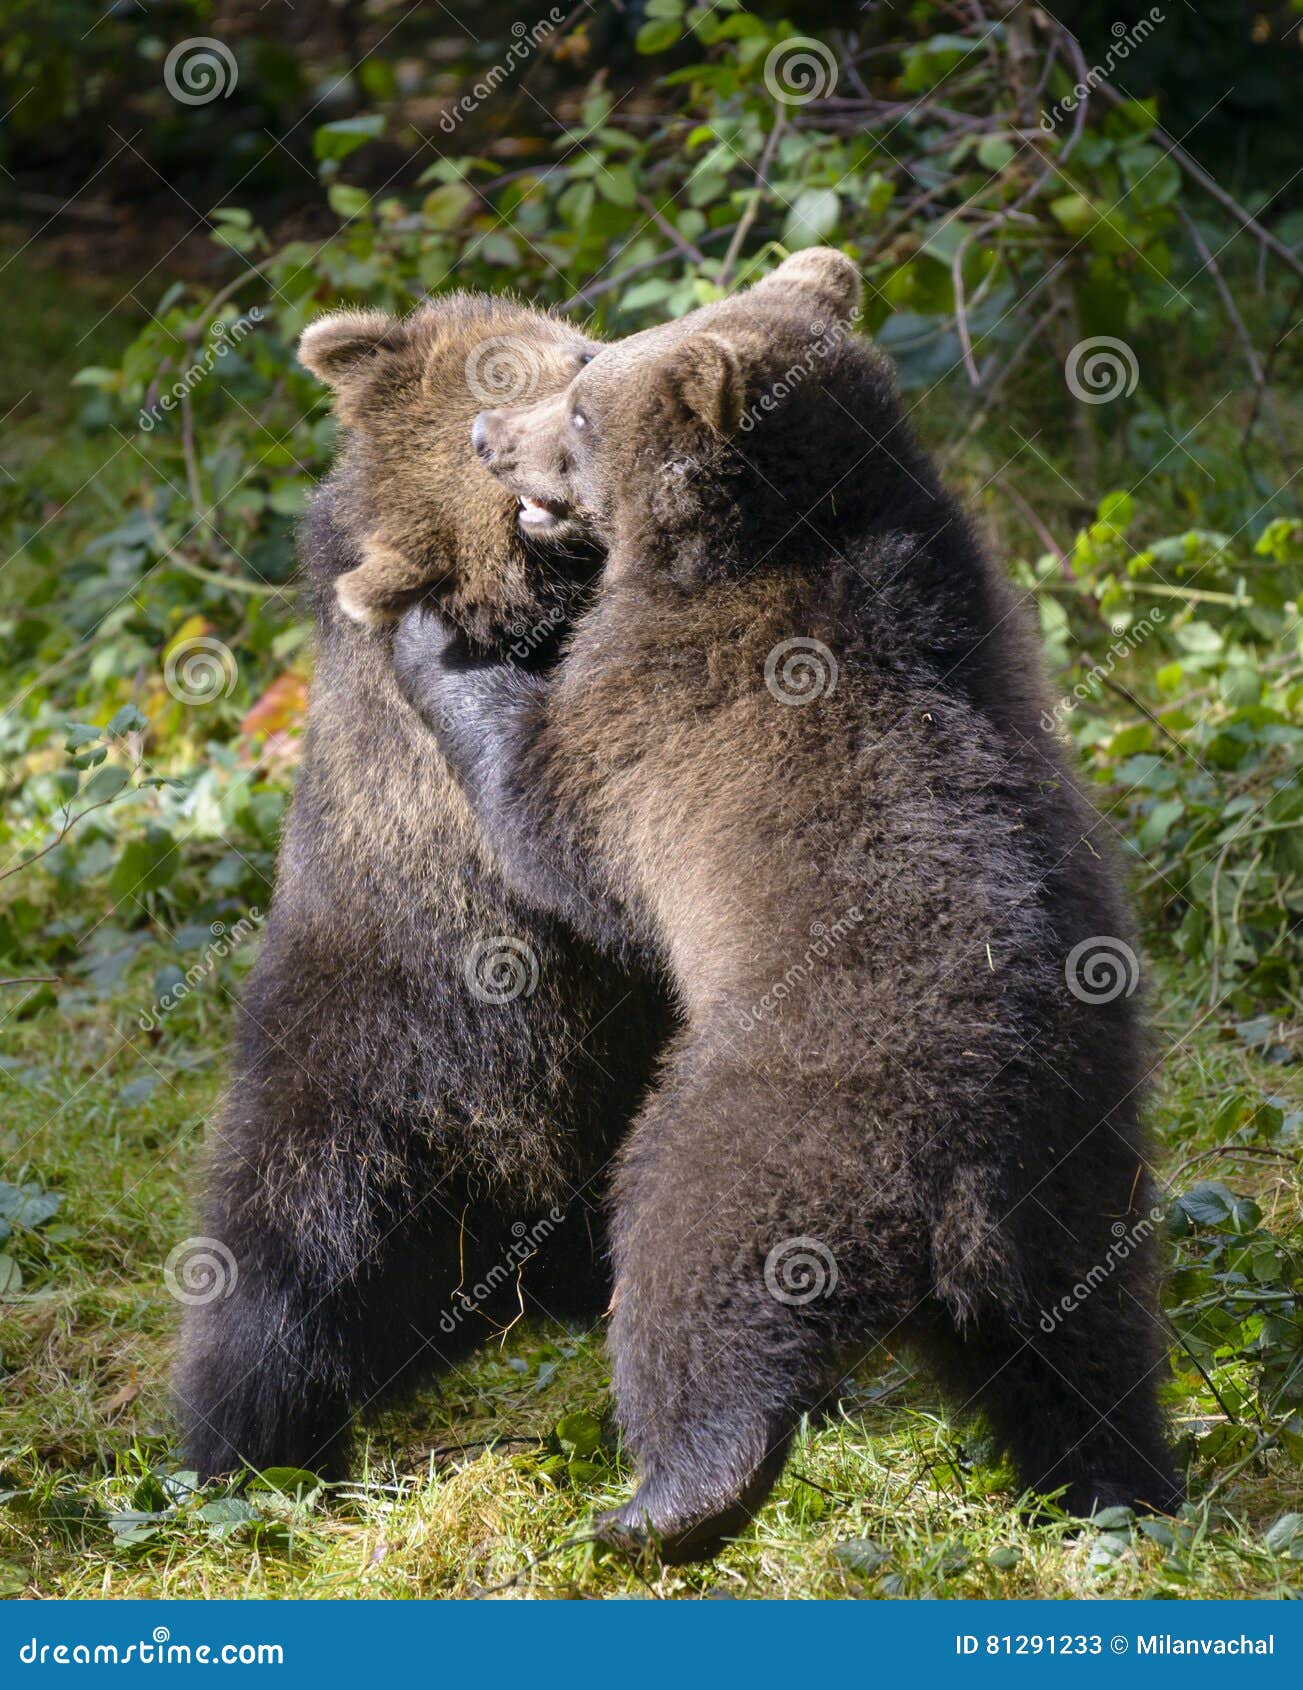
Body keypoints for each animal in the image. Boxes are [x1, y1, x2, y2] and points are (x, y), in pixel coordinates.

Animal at [390, 250, 1181, 1560]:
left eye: (585, 403)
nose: (487, 435)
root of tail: (961, 1186)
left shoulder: (664, 717)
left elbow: (552, 816)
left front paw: (432, 633)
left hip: (761, 1139)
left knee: (694, 1288)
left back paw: (658, 1504)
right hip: (1083, 1182)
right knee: (1088, 1357)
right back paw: (1123, 1491)